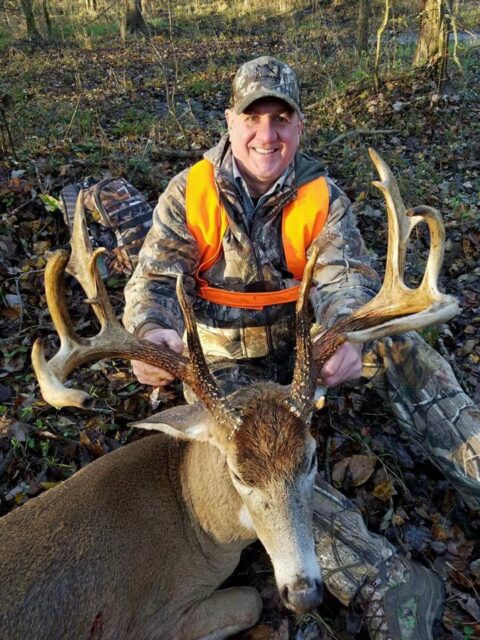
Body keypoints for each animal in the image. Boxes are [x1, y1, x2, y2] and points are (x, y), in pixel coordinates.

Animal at [0, 149, 457, 640]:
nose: (304, 594)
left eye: (311, 458)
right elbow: (252, 599)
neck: (193, 516)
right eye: (239, 473)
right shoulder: (156, 620)